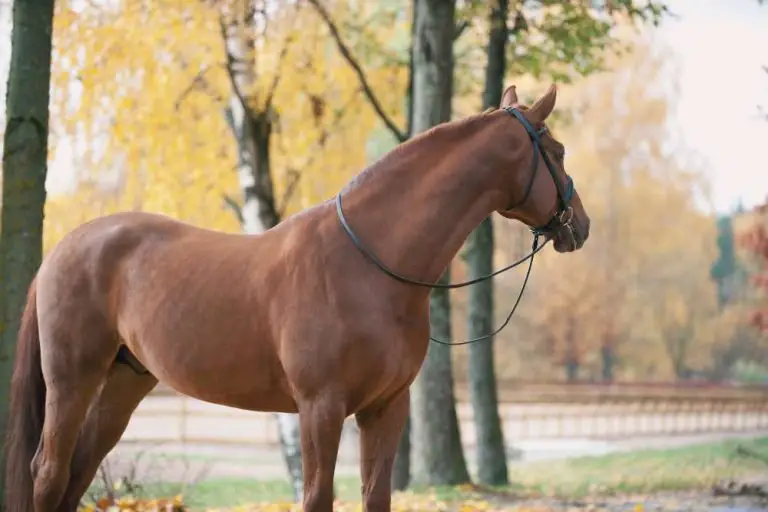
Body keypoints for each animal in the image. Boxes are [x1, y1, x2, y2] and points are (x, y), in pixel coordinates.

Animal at [4, 83, 589, 512]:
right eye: (558, 151)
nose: (580, 225)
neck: (368, 264)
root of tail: (65, 247)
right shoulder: (320, 408)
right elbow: (316, 497)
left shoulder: (386, 408)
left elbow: (375, 496)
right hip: (72, 381)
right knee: (48, 472)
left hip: (124, 383)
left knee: (76, 473)